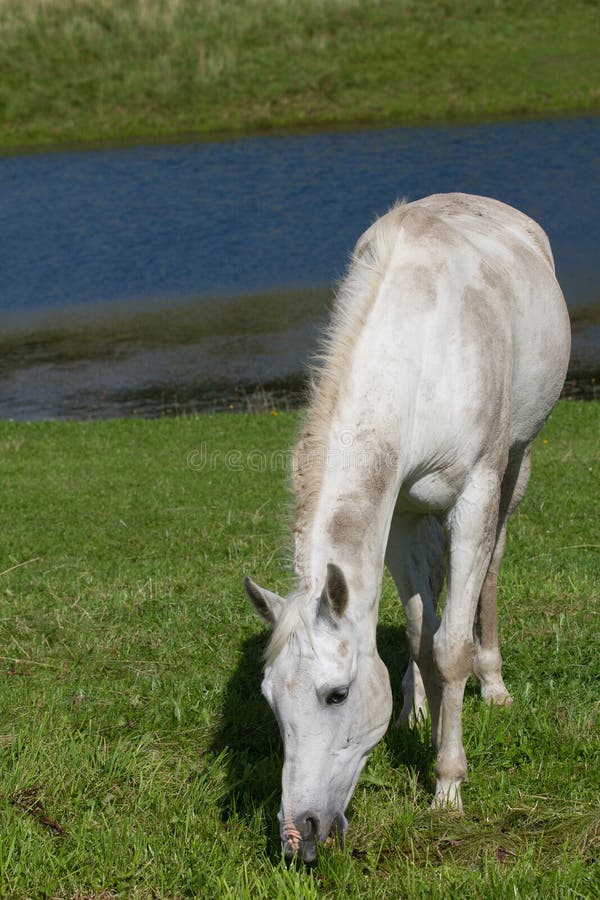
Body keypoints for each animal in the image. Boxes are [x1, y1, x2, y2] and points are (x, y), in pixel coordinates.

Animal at [244, 193, 571, 863]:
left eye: (336, 695)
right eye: (269, 698)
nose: (298, 836)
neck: (423, 354)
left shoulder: (475, 494)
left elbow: (452, 646)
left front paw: (447, 786)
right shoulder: (398, 516)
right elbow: (424, 635)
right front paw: (421, 716)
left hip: (516, 464)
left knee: (490, 569)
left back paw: (493, 685)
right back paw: (416, 708)